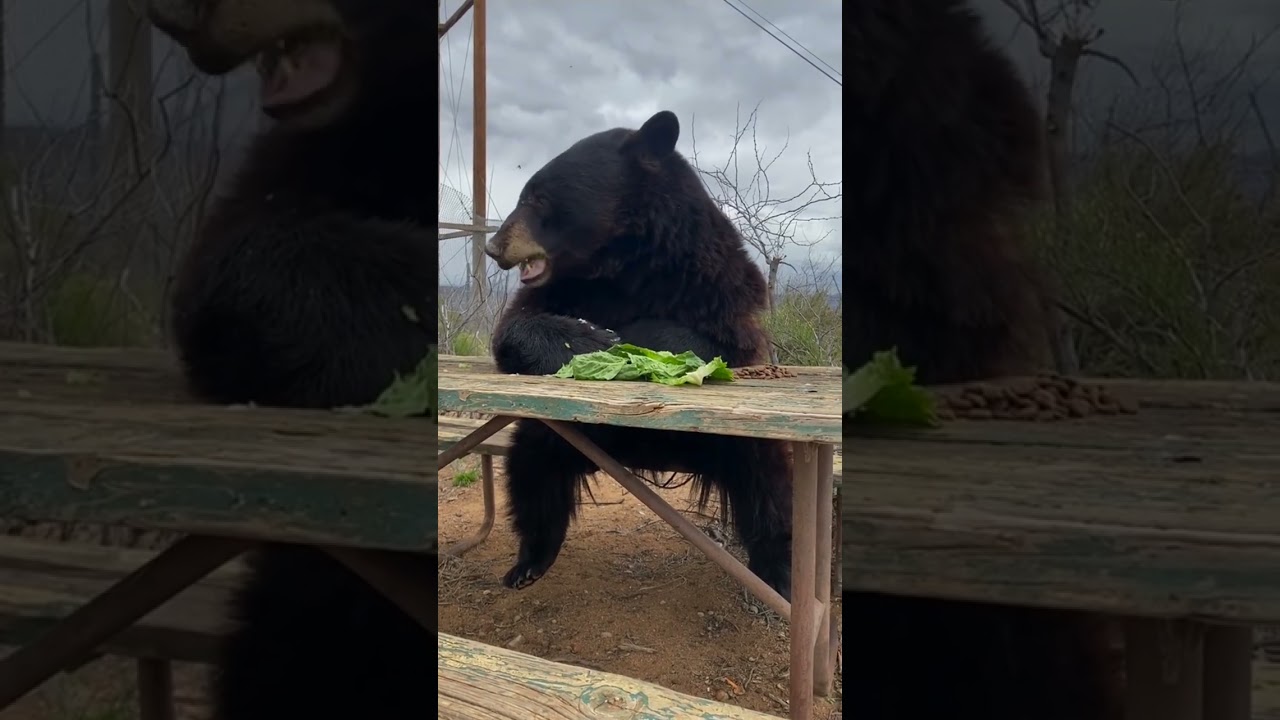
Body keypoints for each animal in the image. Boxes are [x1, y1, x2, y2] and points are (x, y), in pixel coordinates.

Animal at [483, 110, 794, 601]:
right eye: (525, 194)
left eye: (538, 197)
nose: (494, 247)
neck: (623, 265)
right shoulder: (563, 288)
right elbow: (513, 326)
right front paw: (591, 338)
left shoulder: (715, 279)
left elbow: (718, 344)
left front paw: (625, 340)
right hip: (554, 439)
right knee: (533, 478)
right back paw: (530, 562)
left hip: (736, 445)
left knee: (768, 489)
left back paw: (778, 574)